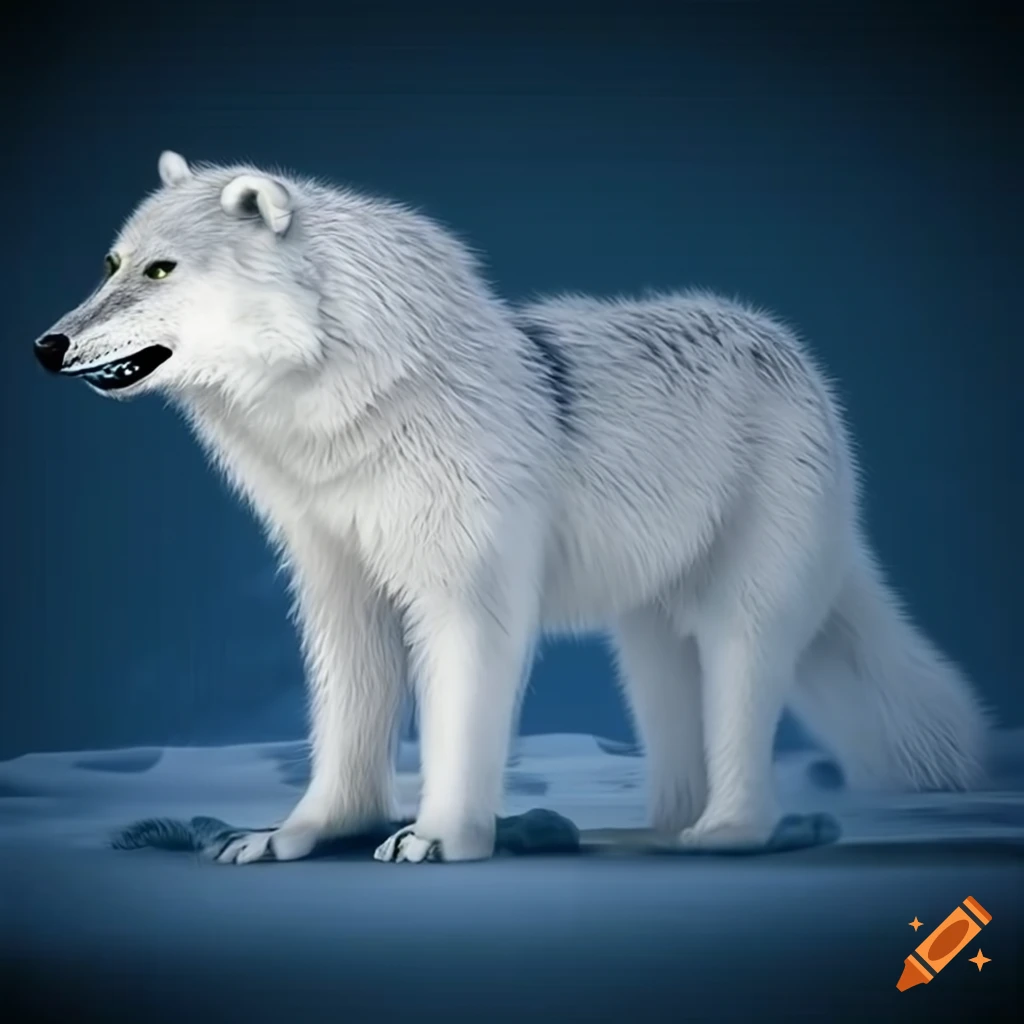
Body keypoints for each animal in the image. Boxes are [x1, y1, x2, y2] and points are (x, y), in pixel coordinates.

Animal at [33, 151, 988, 863]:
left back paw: (724, 834)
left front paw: (439, 838)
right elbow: (345, 723)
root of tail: (786, 347)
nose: (48, 345)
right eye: (111, 264)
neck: (351, 411)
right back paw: (656, 831)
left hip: (740, 614)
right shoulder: (338, 584)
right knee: (673, 722)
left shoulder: (468, 589)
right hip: (646, 637)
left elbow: (459, 719)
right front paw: (302, 835)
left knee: (743, 703)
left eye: (163, 269)